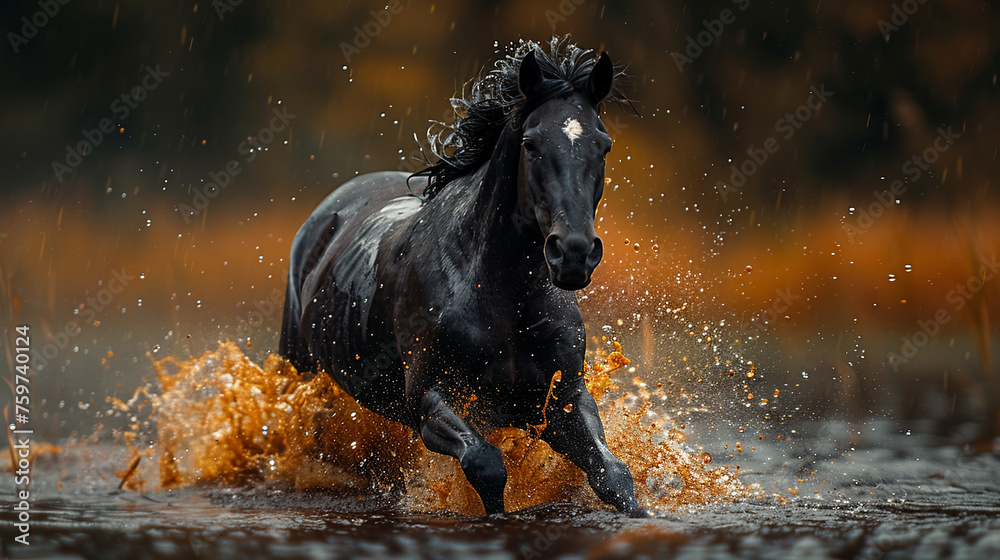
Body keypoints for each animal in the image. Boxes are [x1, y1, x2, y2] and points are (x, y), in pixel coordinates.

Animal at [279, 38, 645, 517]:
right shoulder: (431, 399)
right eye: (530, 144)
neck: (506, 299)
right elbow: (486, 465)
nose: (574, 254)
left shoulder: (561, 400)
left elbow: (613, 475)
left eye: (603, 145)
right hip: (299, 367)